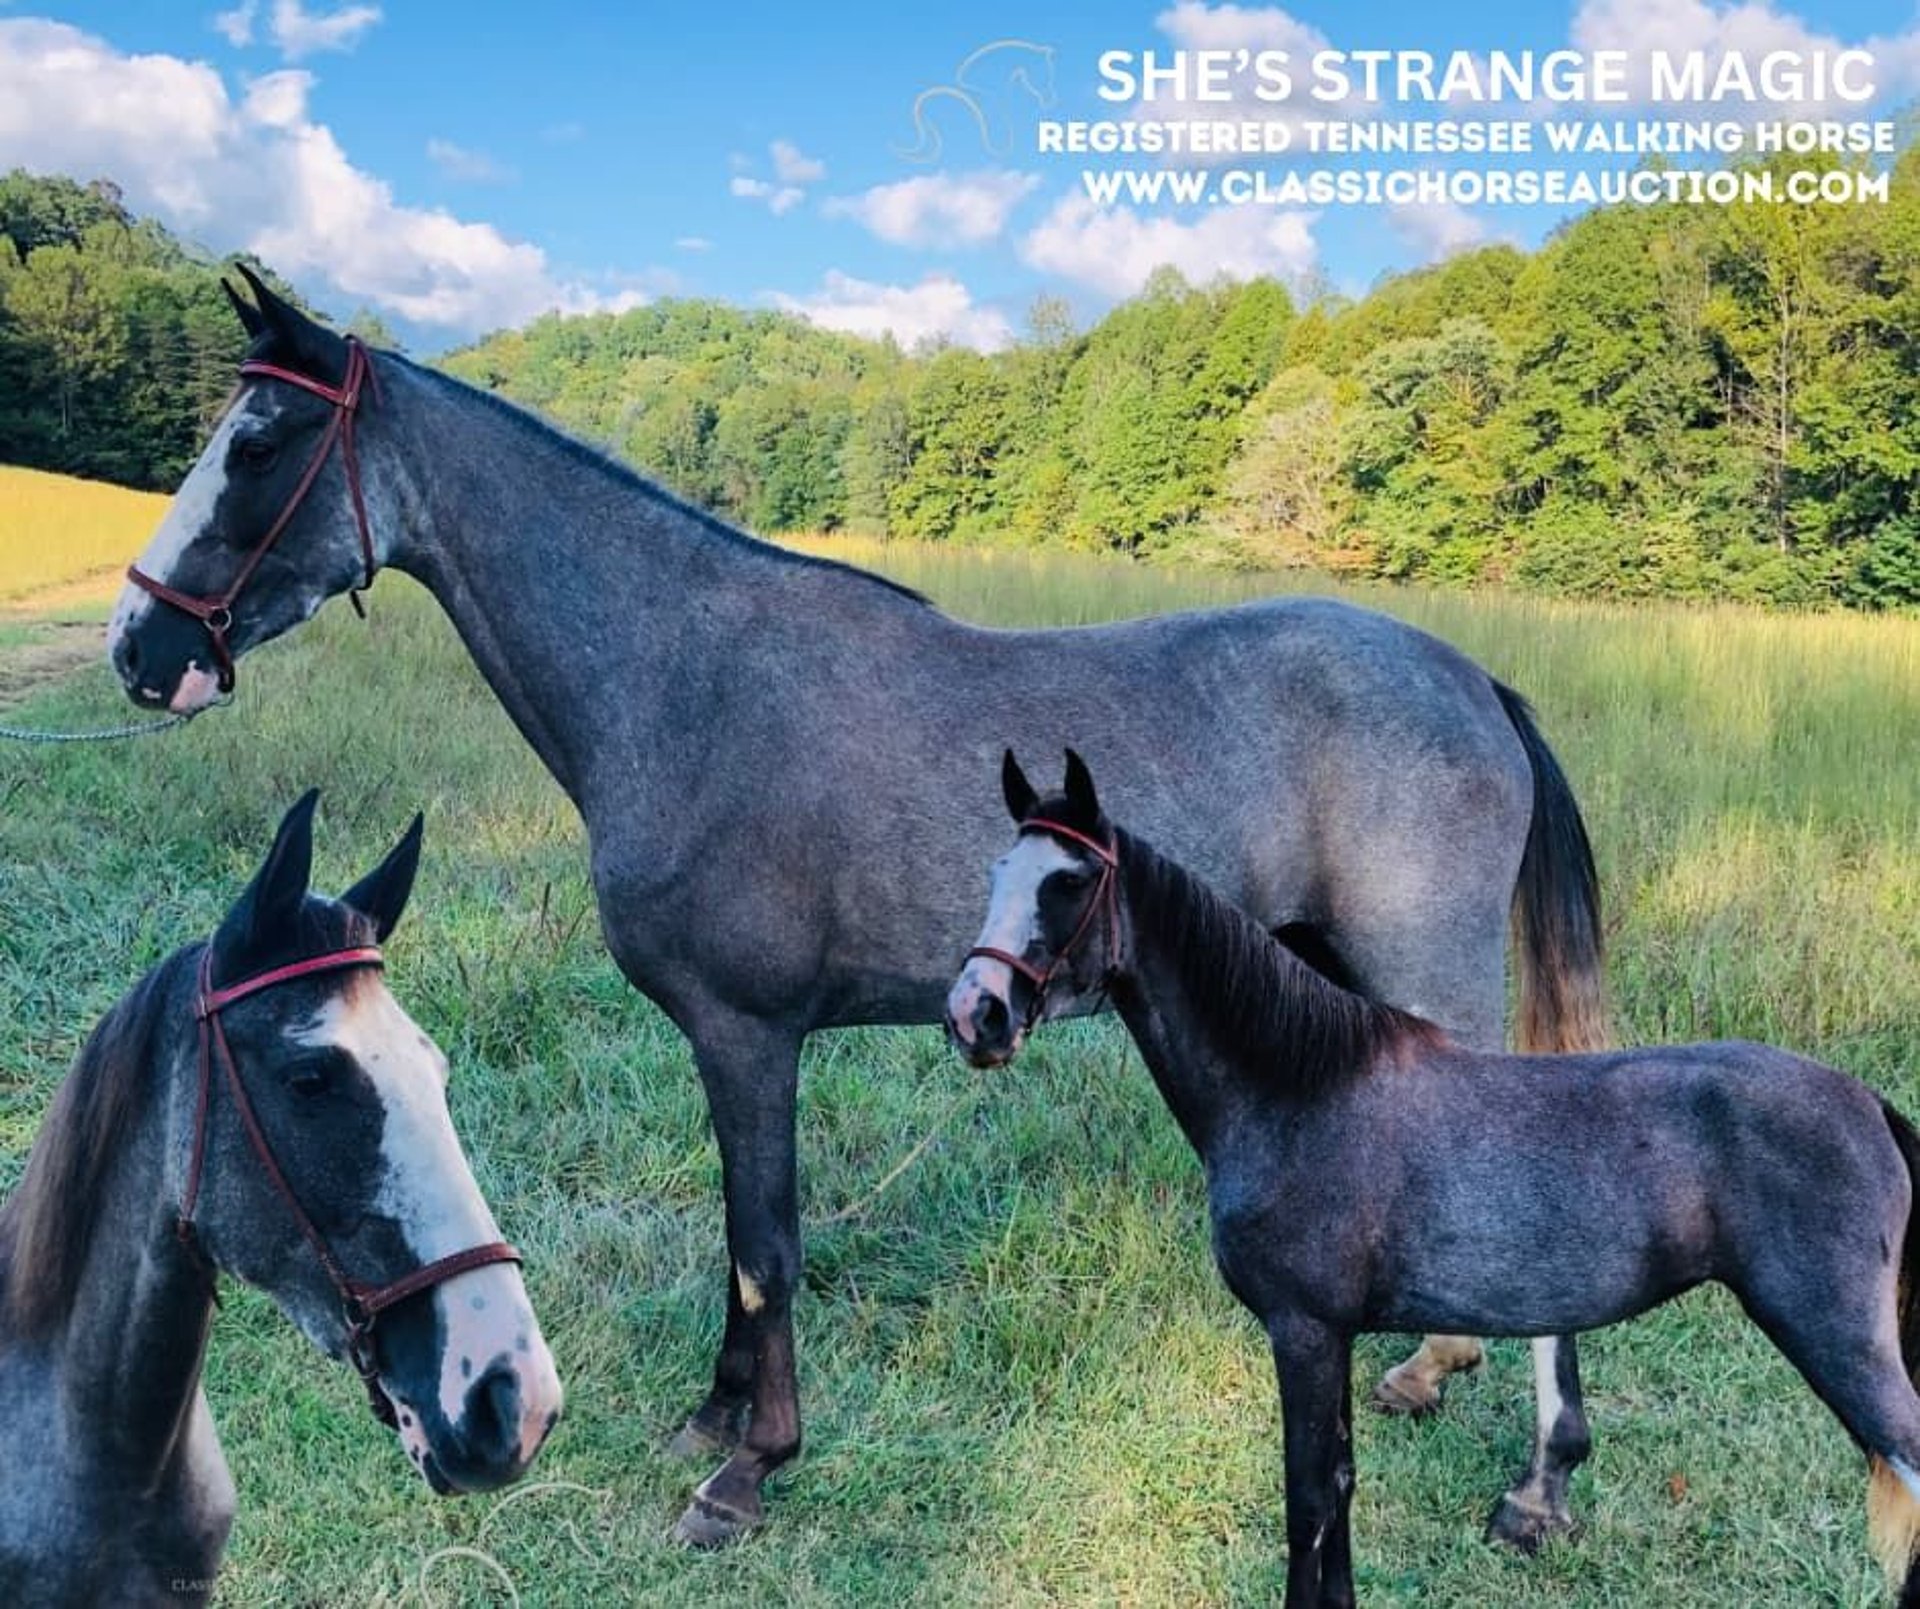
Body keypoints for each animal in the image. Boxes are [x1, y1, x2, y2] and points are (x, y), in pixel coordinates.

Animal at [105, 268, 1607, 1548]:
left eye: (259, 445)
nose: (142, 647)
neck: (684, 675)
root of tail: (1473, 680)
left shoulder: (748, 1031)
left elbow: (768, 1243)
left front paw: (749, 1466)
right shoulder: (727, 1046)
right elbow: (740, 1231)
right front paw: (714, 1416)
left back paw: (1538, 1483)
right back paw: (1432, 1371)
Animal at [947, 750, 1920, 1608]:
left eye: (1070, 881)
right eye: (997, 870)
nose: (975, 1013)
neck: (1299, 1086)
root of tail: (1871, 1105)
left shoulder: (1304, 1330)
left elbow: (1307, 1498)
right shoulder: (1330, 1337)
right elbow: (1338, 1484)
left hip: (1839, 1342)